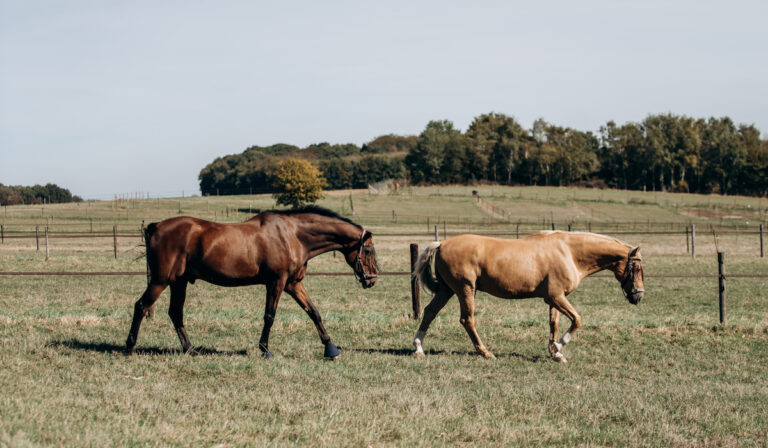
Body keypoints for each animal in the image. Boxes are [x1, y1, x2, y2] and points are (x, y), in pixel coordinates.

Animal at [125, 206, 379, 359]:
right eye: (368, 249)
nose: (372, 279)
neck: (293, 235)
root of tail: (155, 226)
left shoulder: (293, 284)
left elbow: (314, 312)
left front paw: (330, 348)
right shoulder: (276, 282)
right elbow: (270, 316)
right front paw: (265, 350)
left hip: (179, 282)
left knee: (175, 313)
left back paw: (190, 349)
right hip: (160, 281)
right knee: (141, 306)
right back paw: (129, 347)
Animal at [411, 231, 644, 362]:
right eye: (637, 268)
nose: (638, 296)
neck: (569, 252)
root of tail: (442, 243)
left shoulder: (554, 299)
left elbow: (554, 324)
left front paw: (555, 353)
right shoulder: (557, 297)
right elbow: (576, 320)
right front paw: (560, 345)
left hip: (447, 290)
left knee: (429, 312)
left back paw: (419, 347)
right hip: (465, 290)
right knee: (467, 320)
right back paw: (485, 352)